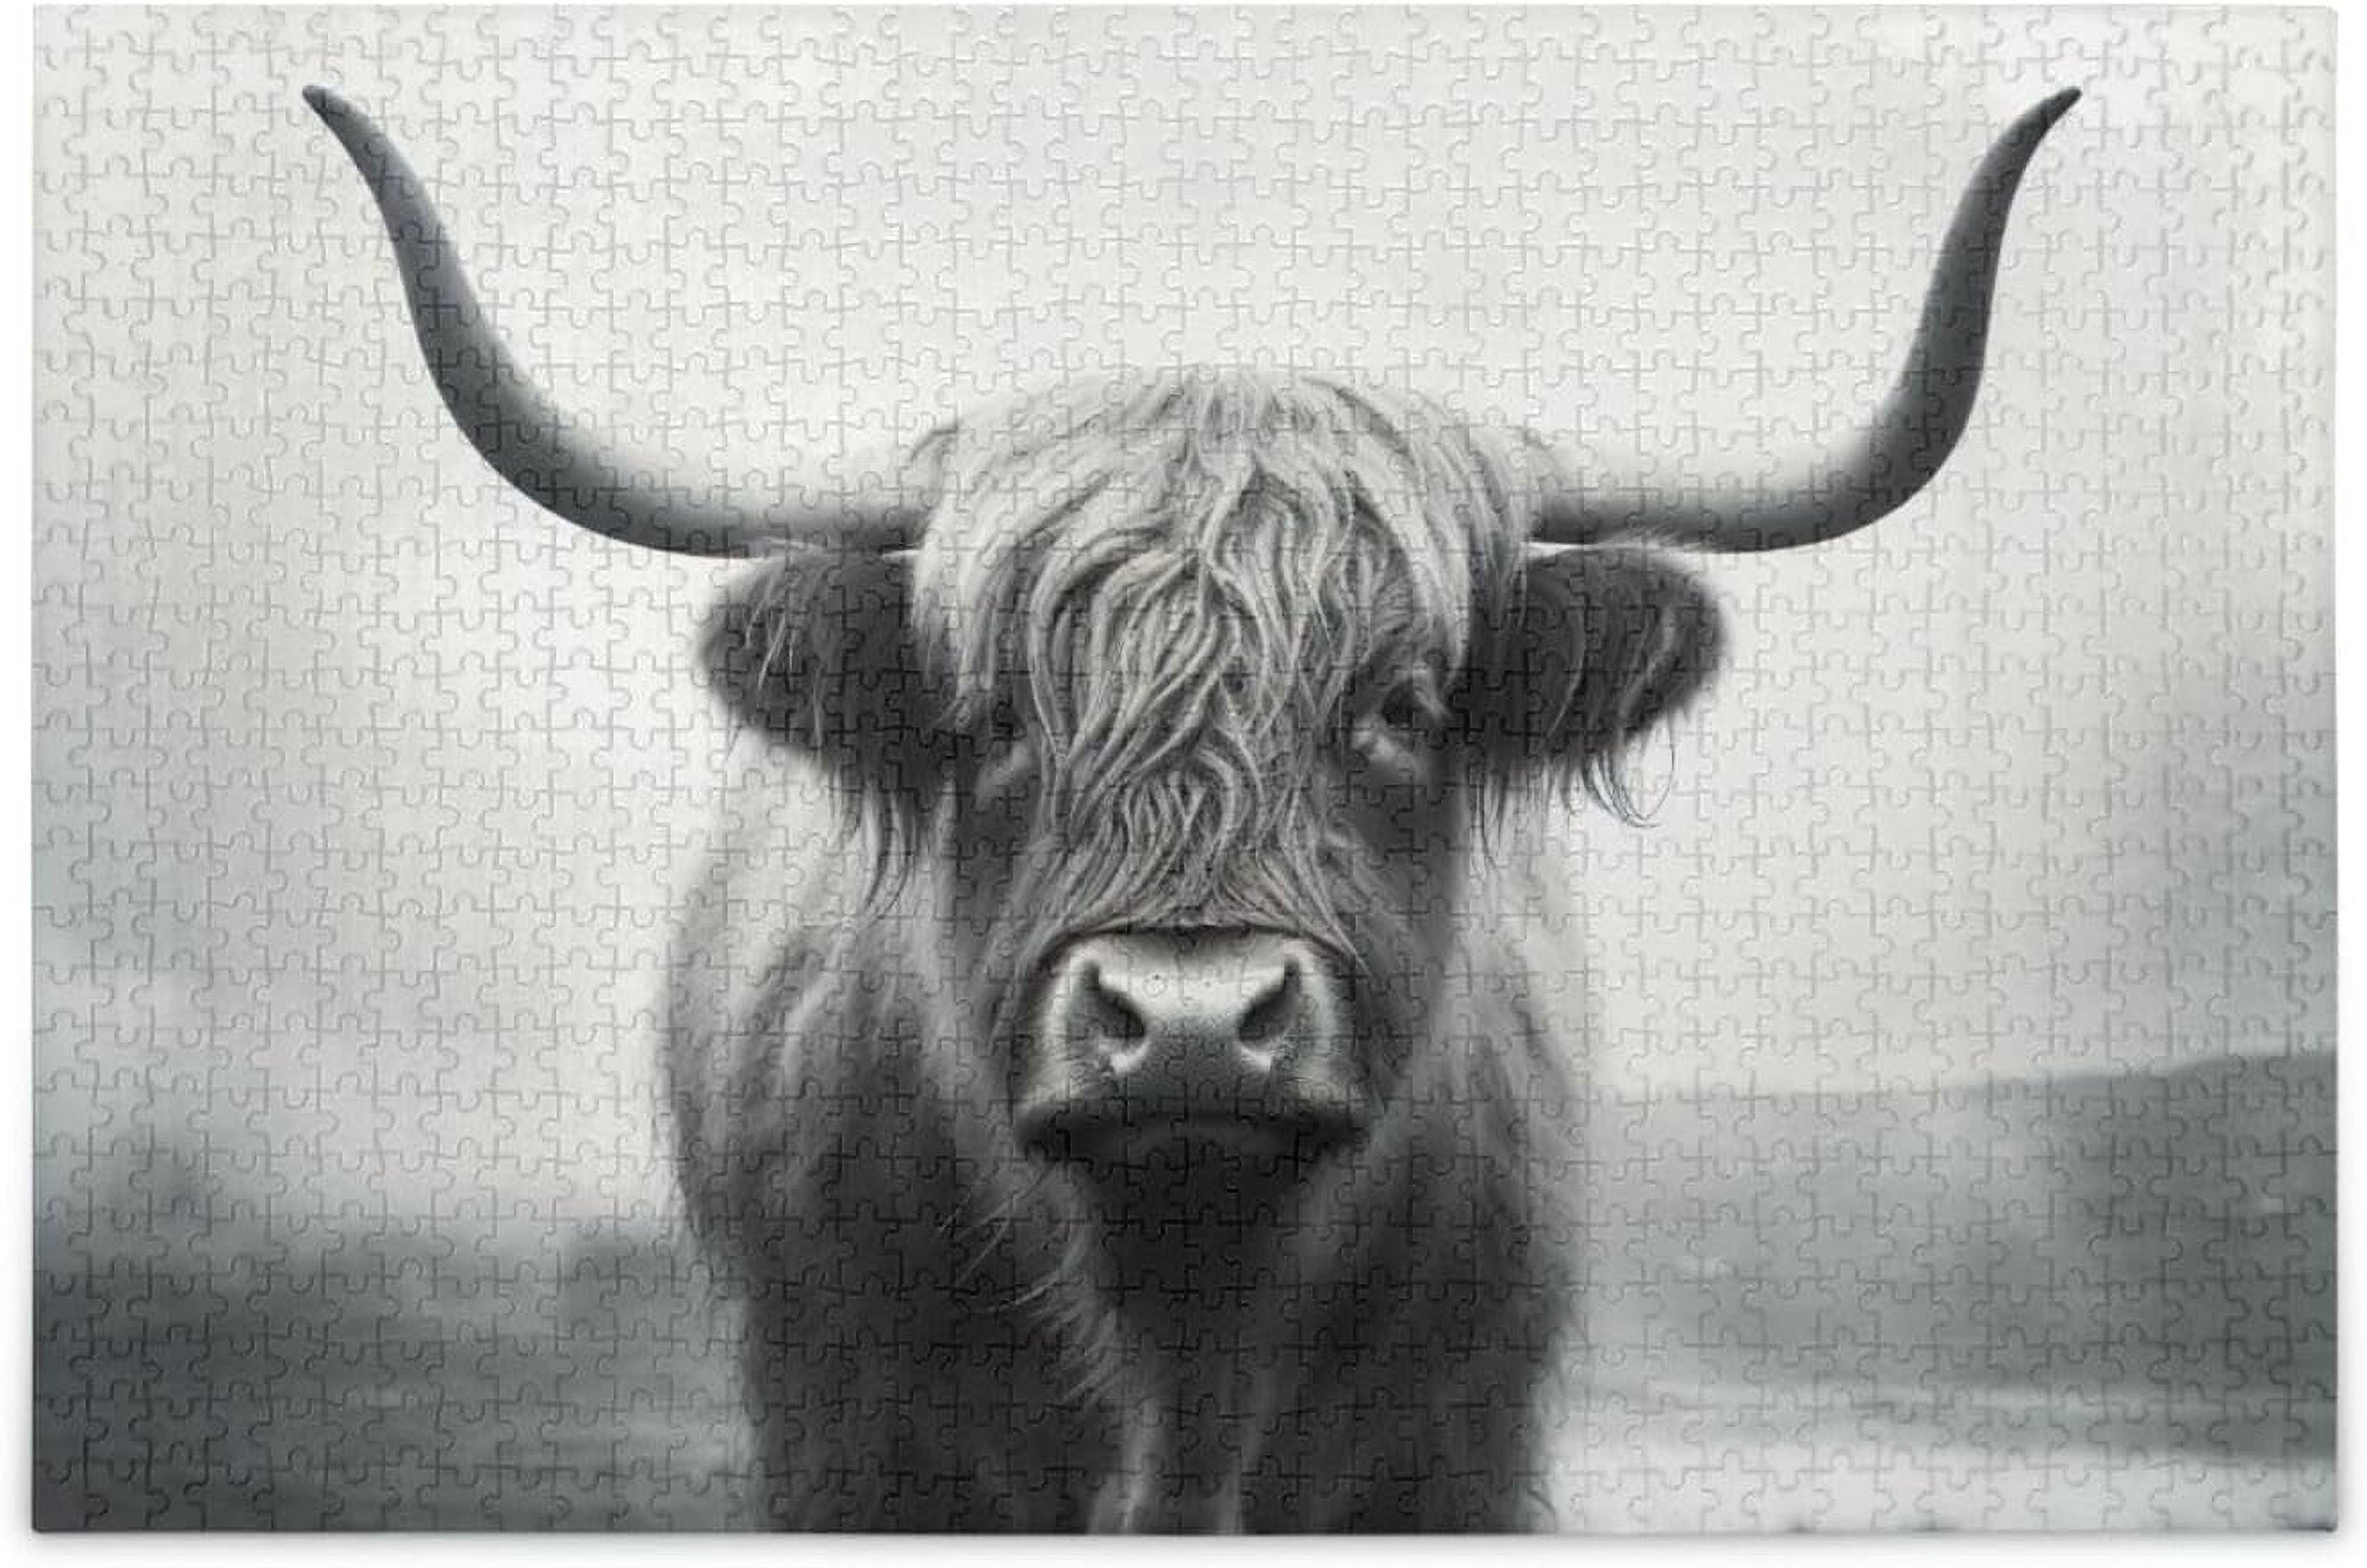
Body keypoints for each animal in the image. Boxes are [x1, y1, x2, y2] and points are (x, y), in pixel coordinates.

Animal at [307, 84, 2076, 1530]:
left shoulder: (1454, 1441)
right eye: (993, 718)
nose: (1188, 1026)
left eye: (1399, 705)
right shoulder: (858, 1429)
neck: (1185, 1351)